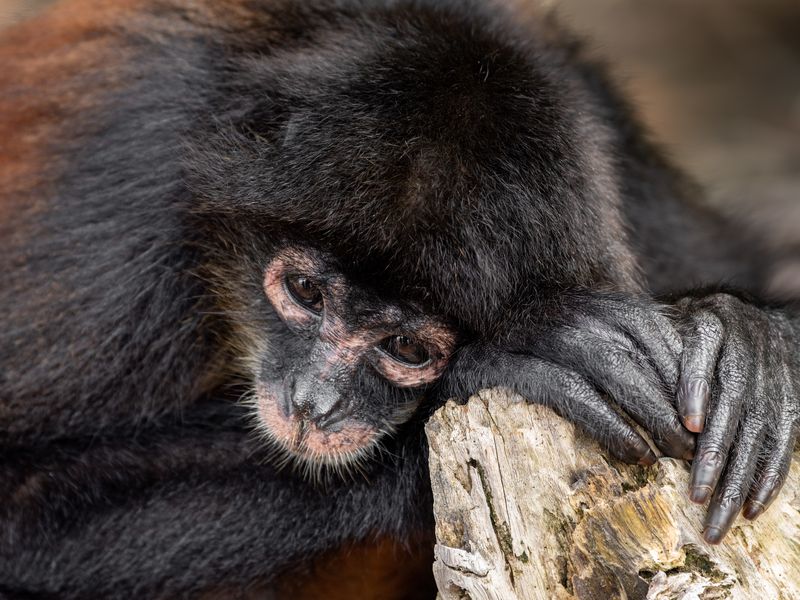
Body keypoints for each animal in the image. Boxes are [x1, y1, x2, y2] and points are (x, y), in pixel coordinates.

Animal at [0, 0, 797, 597]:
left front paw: (746, 345)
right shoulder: (132, 218)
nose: (313, 402)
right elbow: (16, 515)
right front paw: (511, 364)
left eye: (408, 347)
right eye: (303, 291)